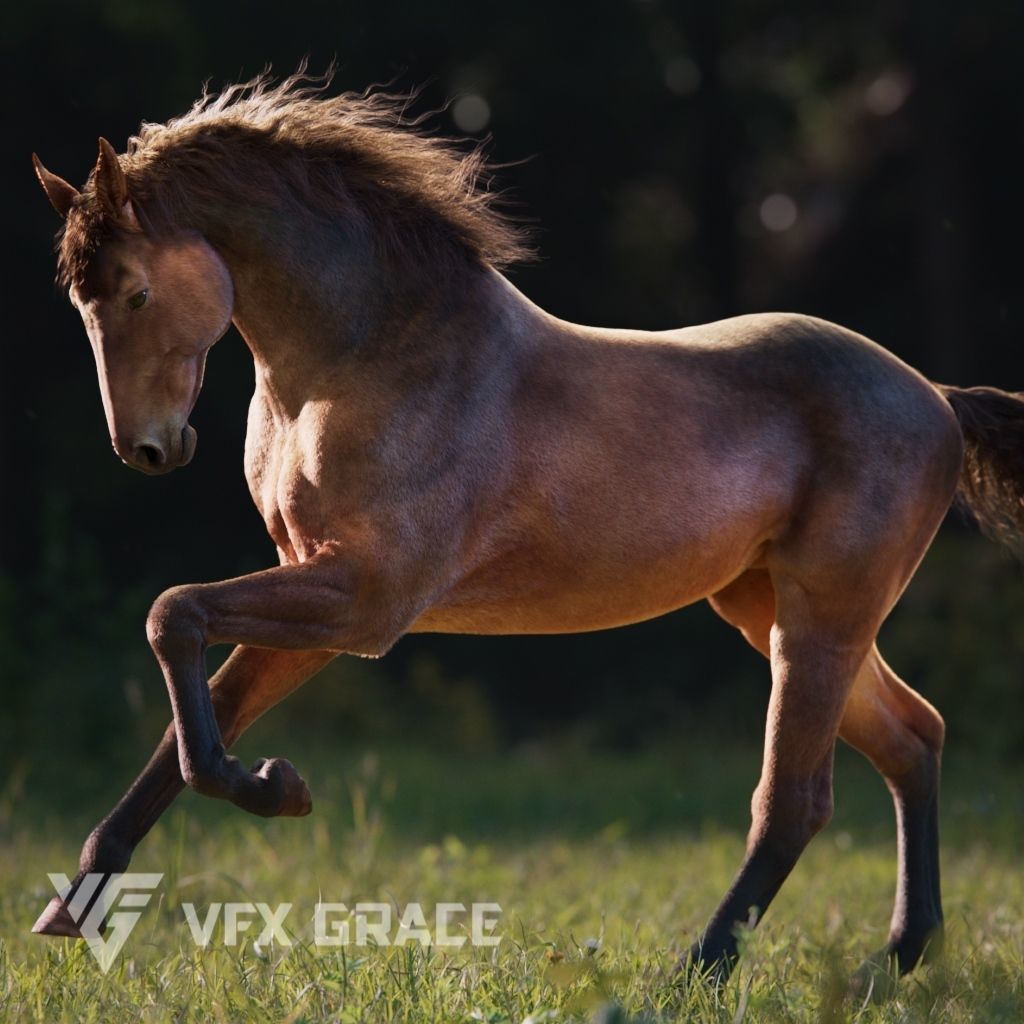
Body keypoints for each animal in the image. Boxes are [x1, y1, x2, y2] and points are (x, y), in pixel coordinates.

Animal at [30, 70, 1024, 988]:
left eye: (134, 293)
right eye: (82, 301)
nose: (147, 449)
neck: (362, 360)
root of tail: (936, 398)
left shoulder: (365, 600)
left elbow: (173, 617)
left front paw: (277, 788)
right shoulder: (315, 590)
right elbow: (188, 709)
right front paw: (75, 906)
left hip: (822, 618)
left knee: (797, 800)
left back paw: (697, 971)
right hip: (768, 608)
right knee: (914, 738)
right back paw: (901, 955)